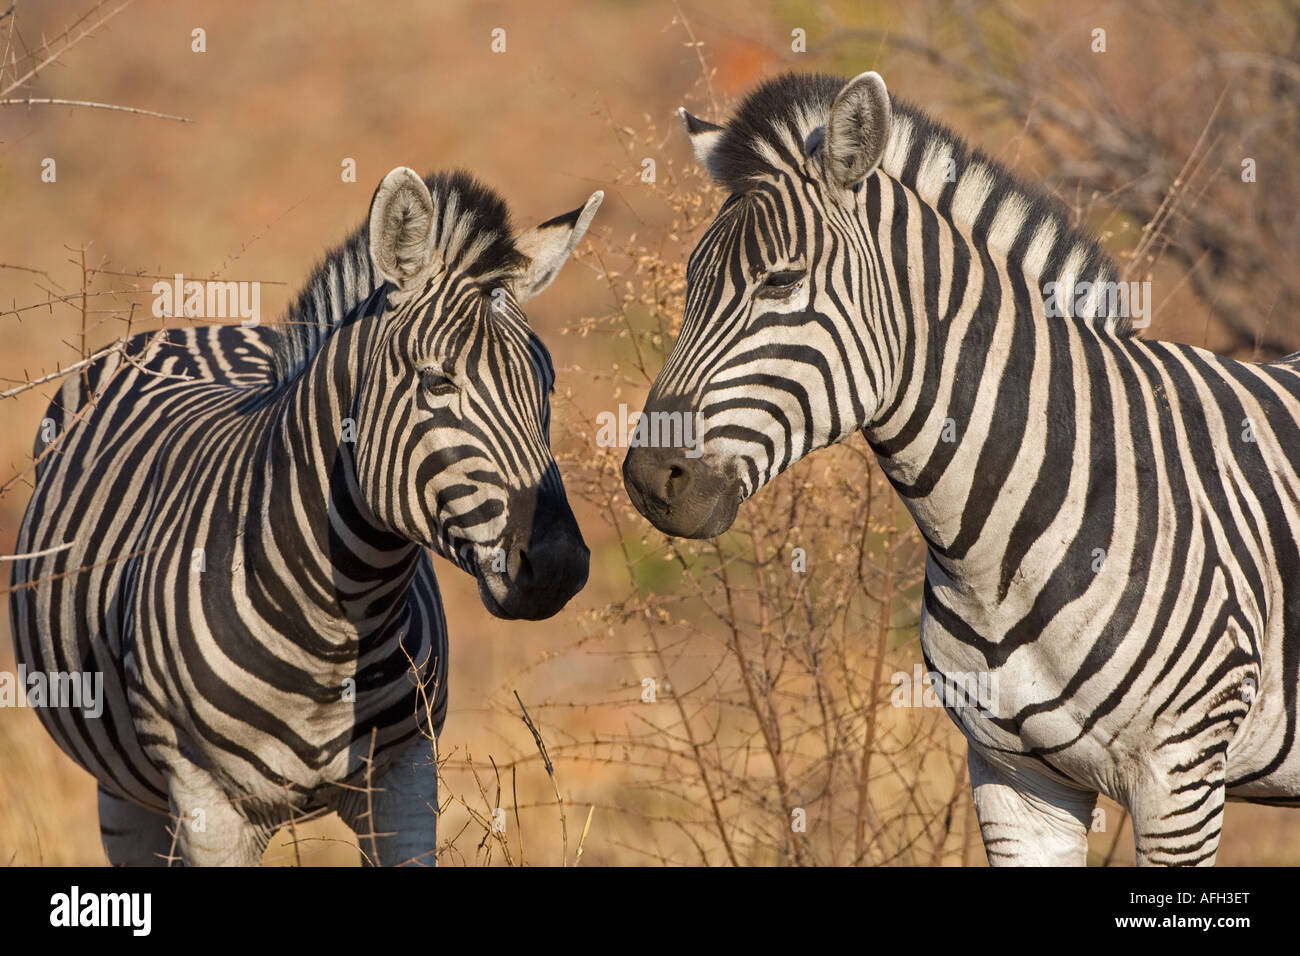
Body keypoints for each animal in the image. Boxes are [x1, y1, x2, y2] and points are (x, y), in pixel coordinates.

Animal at [10, 165, 601, 865]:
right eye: (437, 383)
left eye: (548, 386)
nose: (559, 566)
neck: (336, 629)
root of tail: (193, 327)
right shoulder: (208, 804)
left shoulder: (404, 779)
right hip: (129, 796)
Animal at [623, 71, 1300, 866]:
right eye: (690, 282)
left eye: (781, 283)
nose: (649, 480)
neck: (996, 555)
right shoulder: (1015, 780)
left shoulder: (1181, 775)